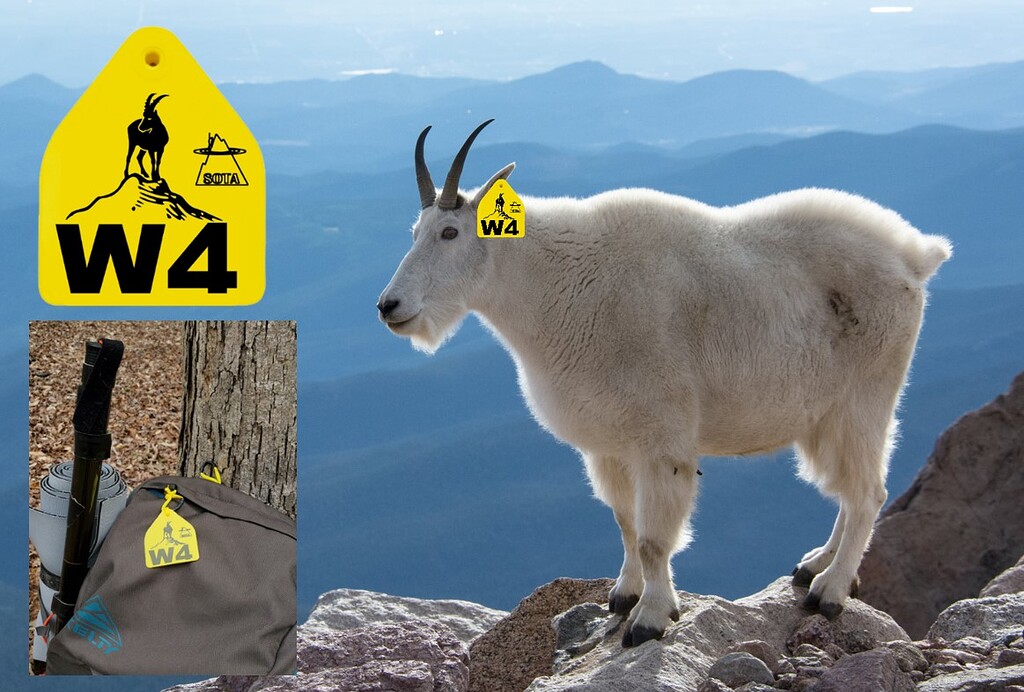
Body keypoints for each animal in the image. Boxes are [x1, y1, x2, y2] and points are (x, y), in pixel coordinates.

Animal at [377, 121, 951, 647]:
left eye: (450, 233)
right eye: (413, 233)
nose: (389, 307)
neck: (558, 286)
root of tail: (914, 256)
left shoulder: (662, 439)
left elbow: (656, 538)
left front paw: (650, 619)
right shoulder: (608, 444)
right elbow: (626, 523)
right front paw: (624, 595)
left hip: (866, 397)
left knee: (868, 492)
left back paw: (829, 591)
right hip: (825, 414)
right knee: (850, 492)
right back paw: (815, 565)